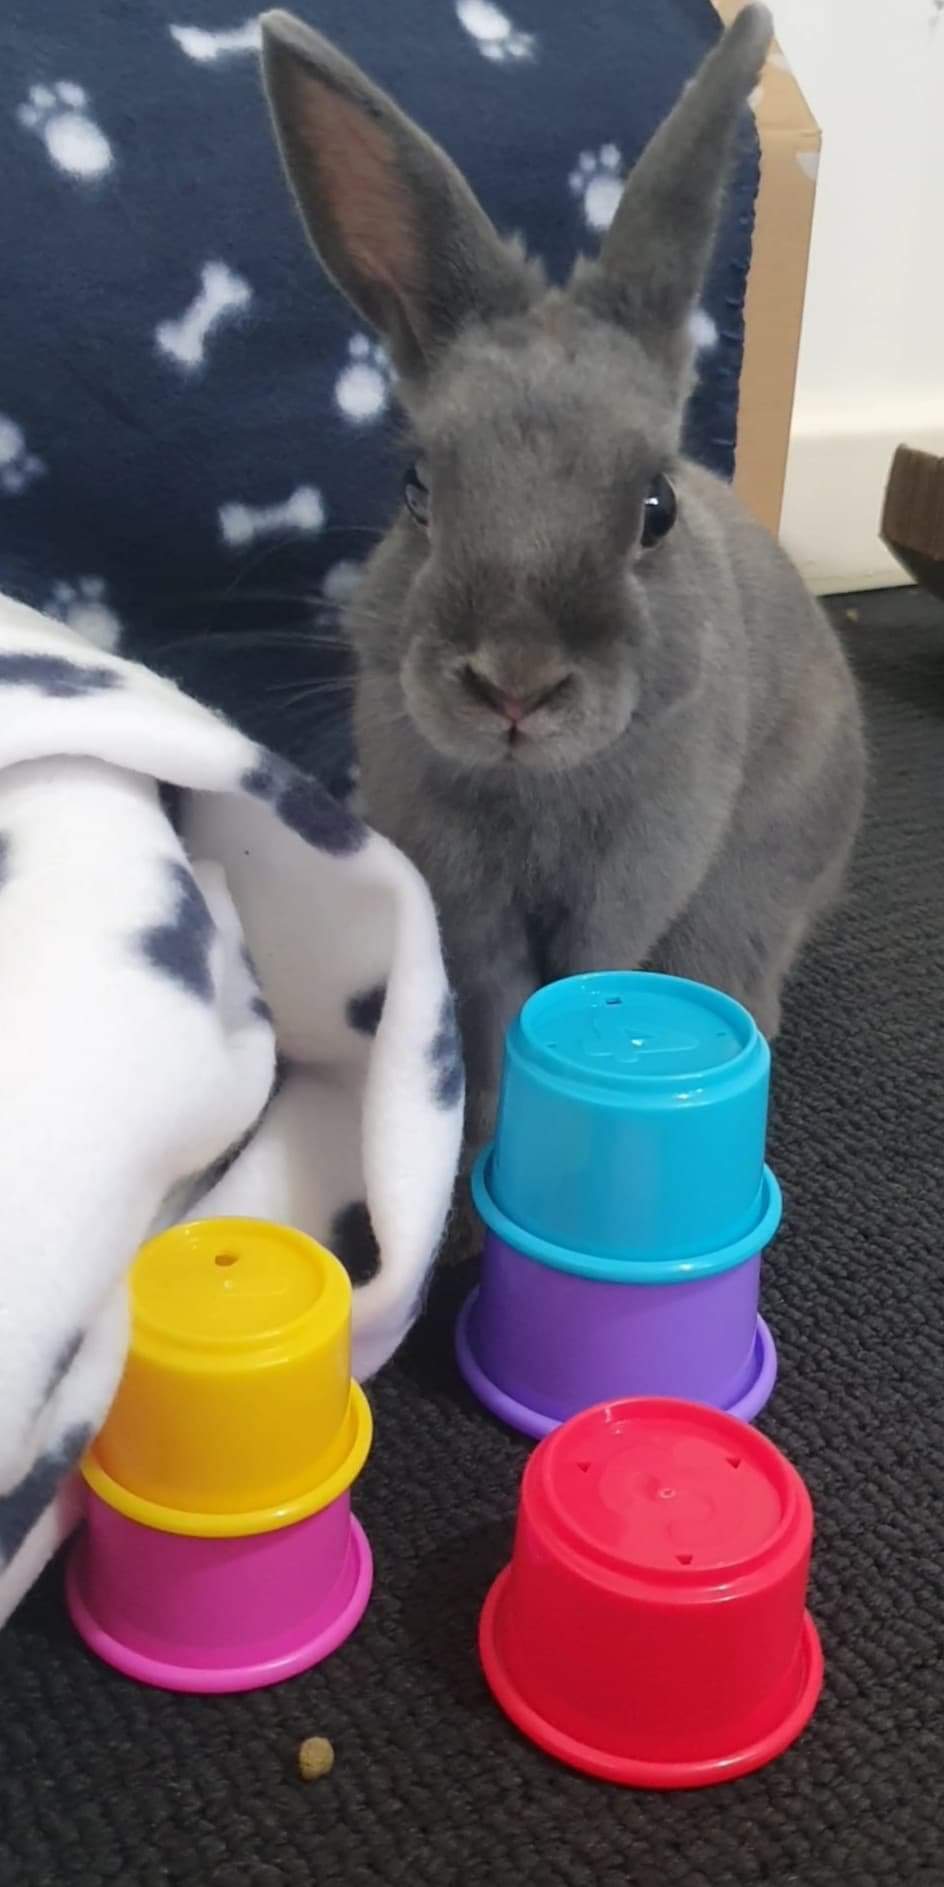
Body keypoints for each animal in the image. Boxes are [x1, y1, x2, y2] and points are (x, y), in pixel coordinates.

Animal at [261, 5, 866, 1158]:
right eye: (416, 489)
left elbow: (584, 976)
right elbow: (492, 1001)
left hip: (747, 891)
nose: (514, 682)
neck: (530, 792)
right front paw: (480, 1132)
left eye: (654, 507)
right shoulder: (460, 891)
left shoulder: (635, 873)